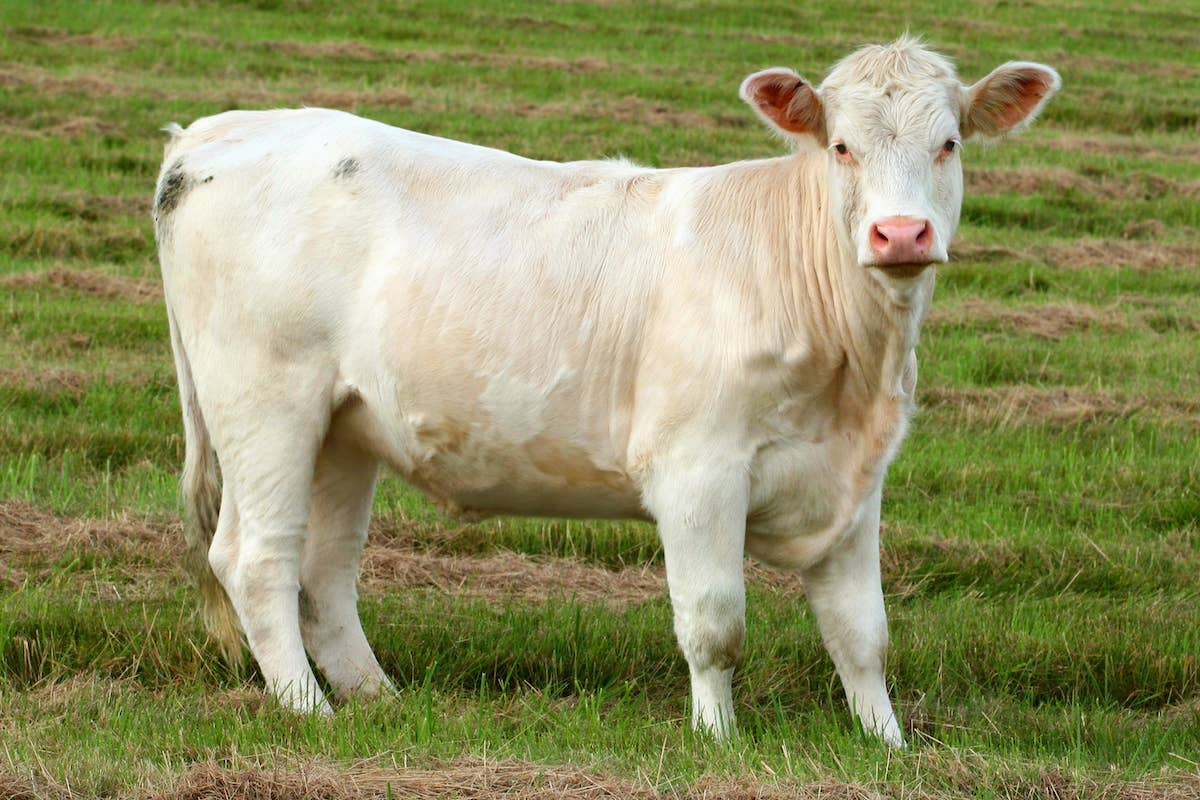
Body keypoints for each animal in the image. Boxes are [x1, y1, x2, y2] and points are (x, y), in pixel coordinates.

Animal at [154, 36, 1058, 746]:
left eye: (950, 143)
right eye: (840, 147)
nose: (900, 234)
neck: (851, 370)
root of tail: (214, 130)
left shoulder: (854, 480)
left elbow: (862, 632)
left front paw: (888, 745)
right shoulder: (696, 470)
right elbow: (714, 624)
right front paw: (717, 741)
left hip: (344, 428)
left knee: (325, 570)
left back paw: (379, 699)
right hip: (265, 403)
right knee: (256, 558)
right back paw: (309, 711)